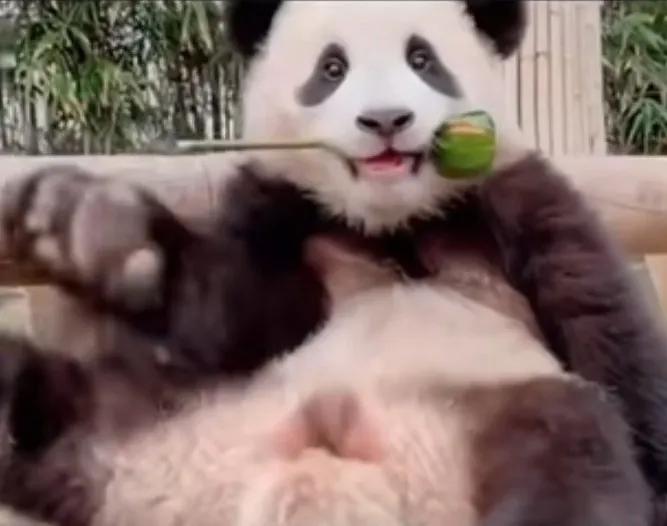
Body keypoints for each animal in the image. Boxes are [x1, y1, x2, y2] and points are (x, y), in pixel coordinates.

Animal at [0, 0, 665, 525]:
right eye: (332, 68)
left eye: (422, 58)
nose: (386, 120)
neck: (391, 220)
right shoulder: (279, 208)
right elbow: (233, 324)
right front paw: (107, 237)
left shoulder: (518, 194)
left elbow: (603, 322)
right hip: (180, 410)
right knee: (70, 406)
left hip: (507, 404)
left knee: (574, 454)